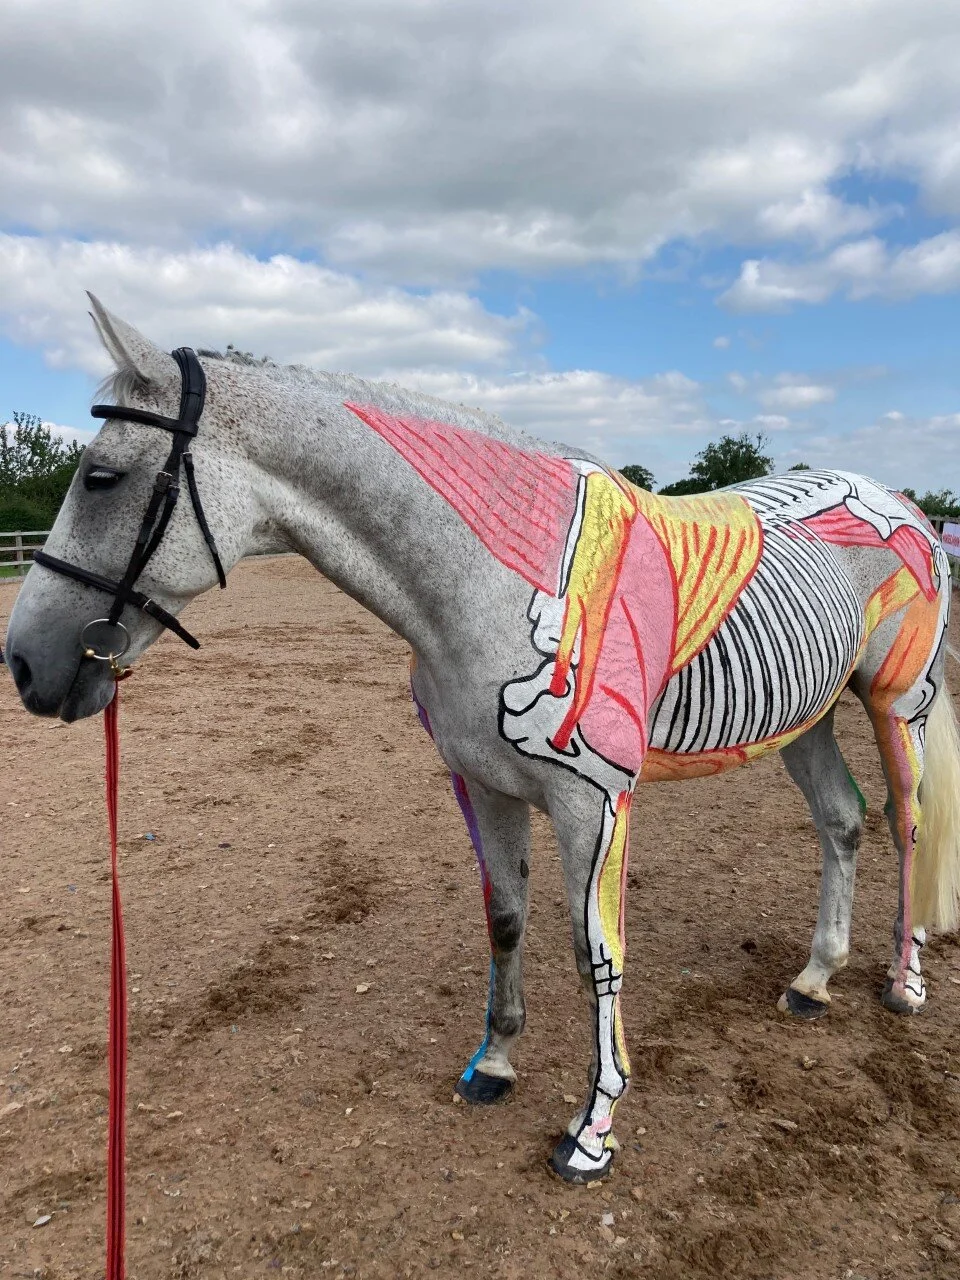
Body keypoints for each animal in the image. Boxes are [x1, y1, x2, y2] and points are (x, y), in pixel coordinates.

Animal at [6, 296, 960, 1184]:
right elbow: (505, 918)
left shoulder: (595, 803)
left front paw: (593, 1130)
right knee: (842, 824)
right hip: (808, 718)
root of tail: (903, 508)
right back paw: (814, 980)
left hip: (893, 706)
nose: (24, 664)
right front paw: (495, 1063)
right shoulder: (484, 784)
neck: (489, 587)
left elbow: (596, 952)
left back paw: (902, 983)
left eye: (101, 476)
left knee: (906, 824)